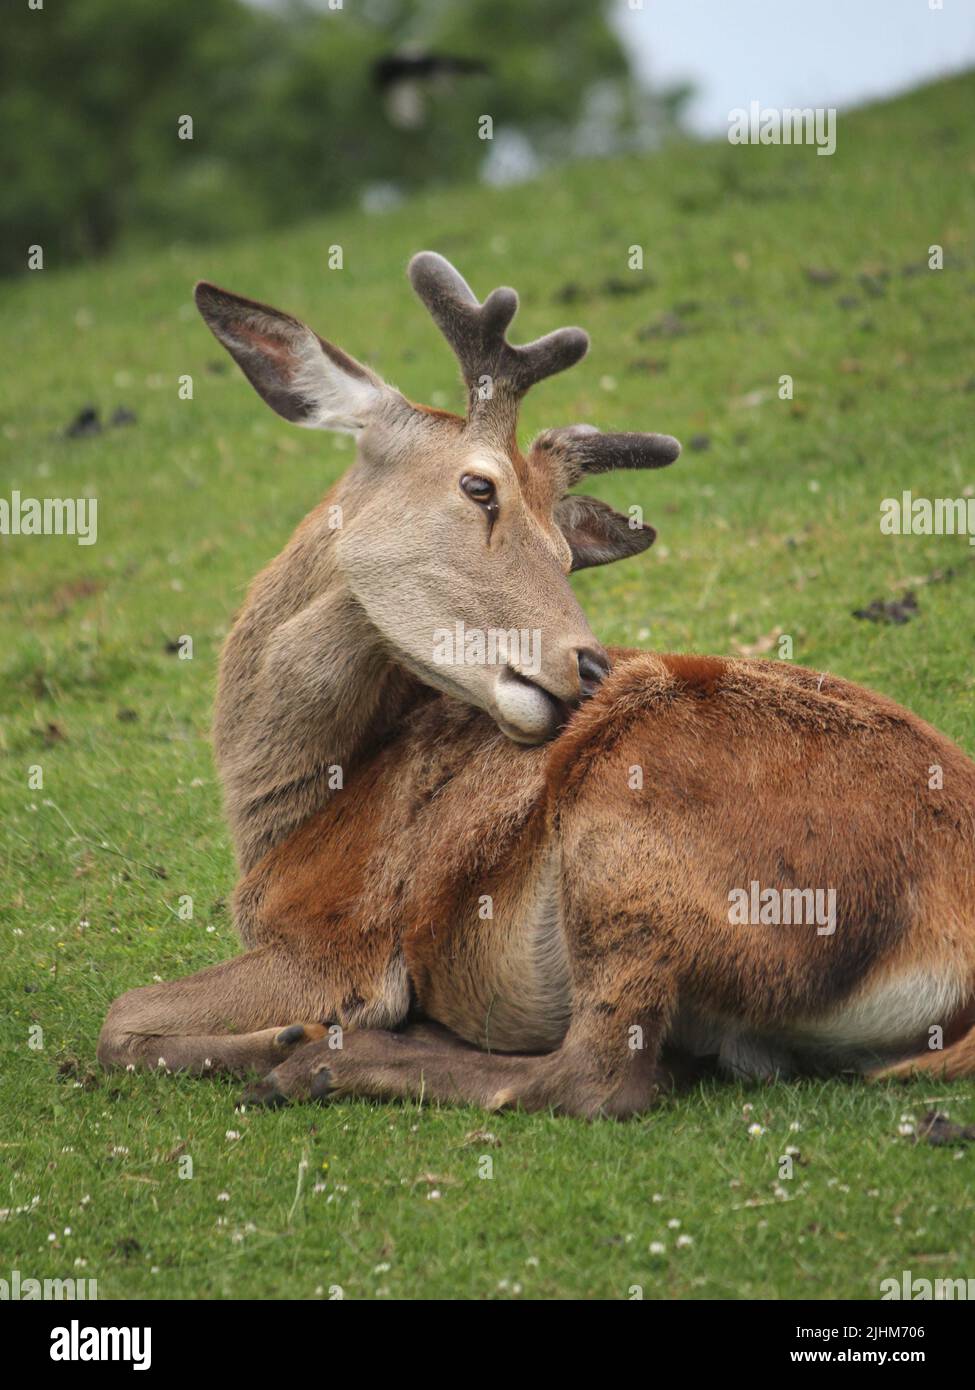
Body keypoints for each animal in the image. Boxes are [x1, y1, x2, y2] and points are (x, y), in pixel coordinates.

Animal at [98, 252, 975, 1118]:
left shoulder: (339, 939)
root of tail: (944, 940)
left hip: (629, 850)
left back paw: (317, 1062)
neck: (285, 814)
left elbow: (120, 1016)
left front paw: (281, 1036)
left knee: (599, 1077)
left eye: (562, 552)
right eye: (478, 487)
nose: (589, 667)